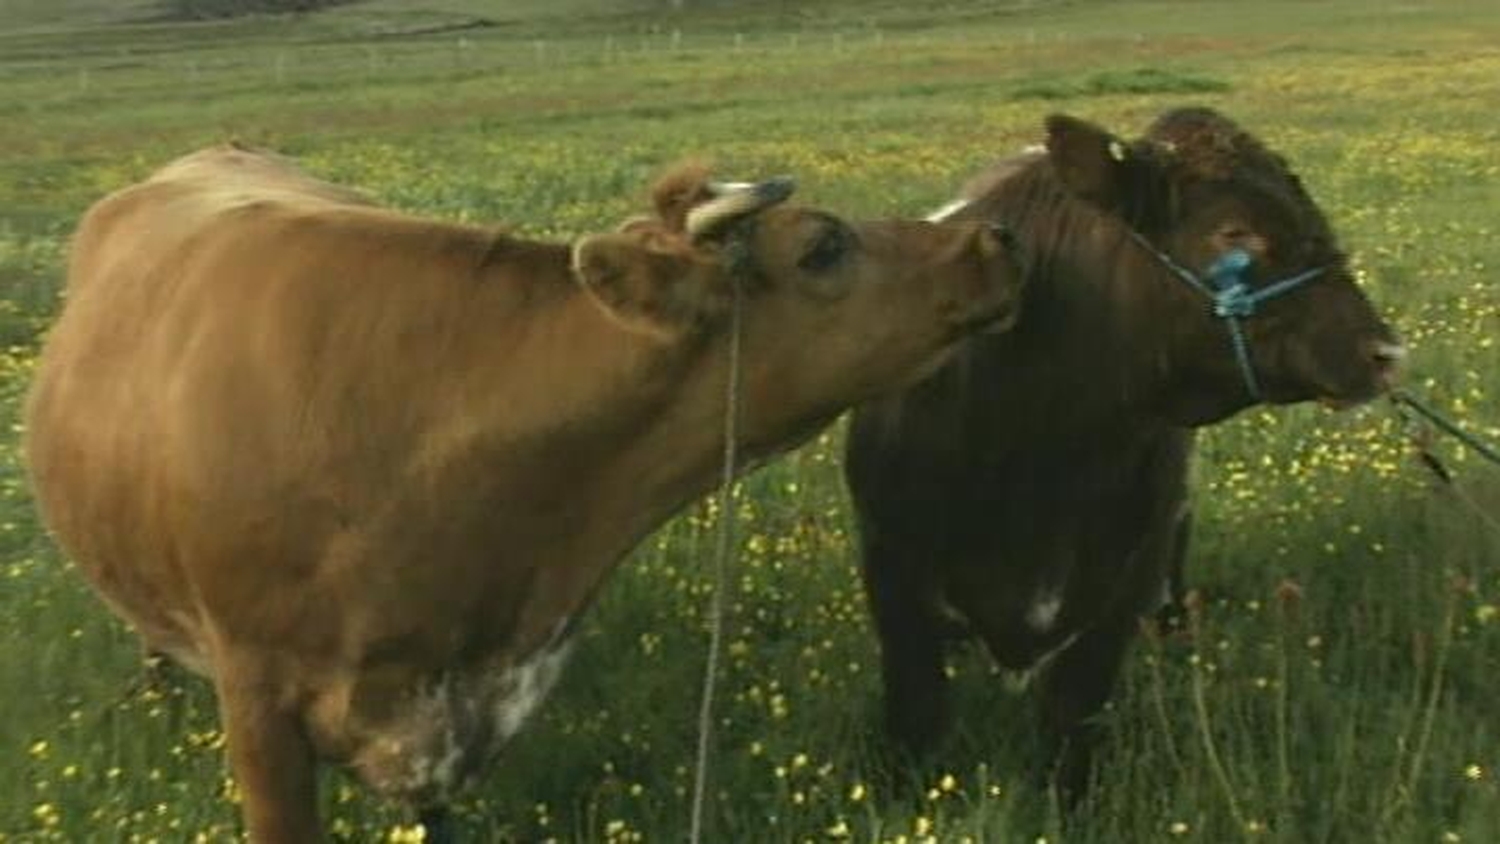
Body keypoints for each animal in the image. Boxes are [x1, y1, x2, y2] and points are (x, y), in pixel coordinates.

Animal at [844, 108, 1403, 798]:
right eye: (1234, 230)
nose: (1383, 352)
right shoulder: (894, 567)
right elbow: (916, 708)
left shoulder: (1125, 574)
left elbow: (1075, 710)